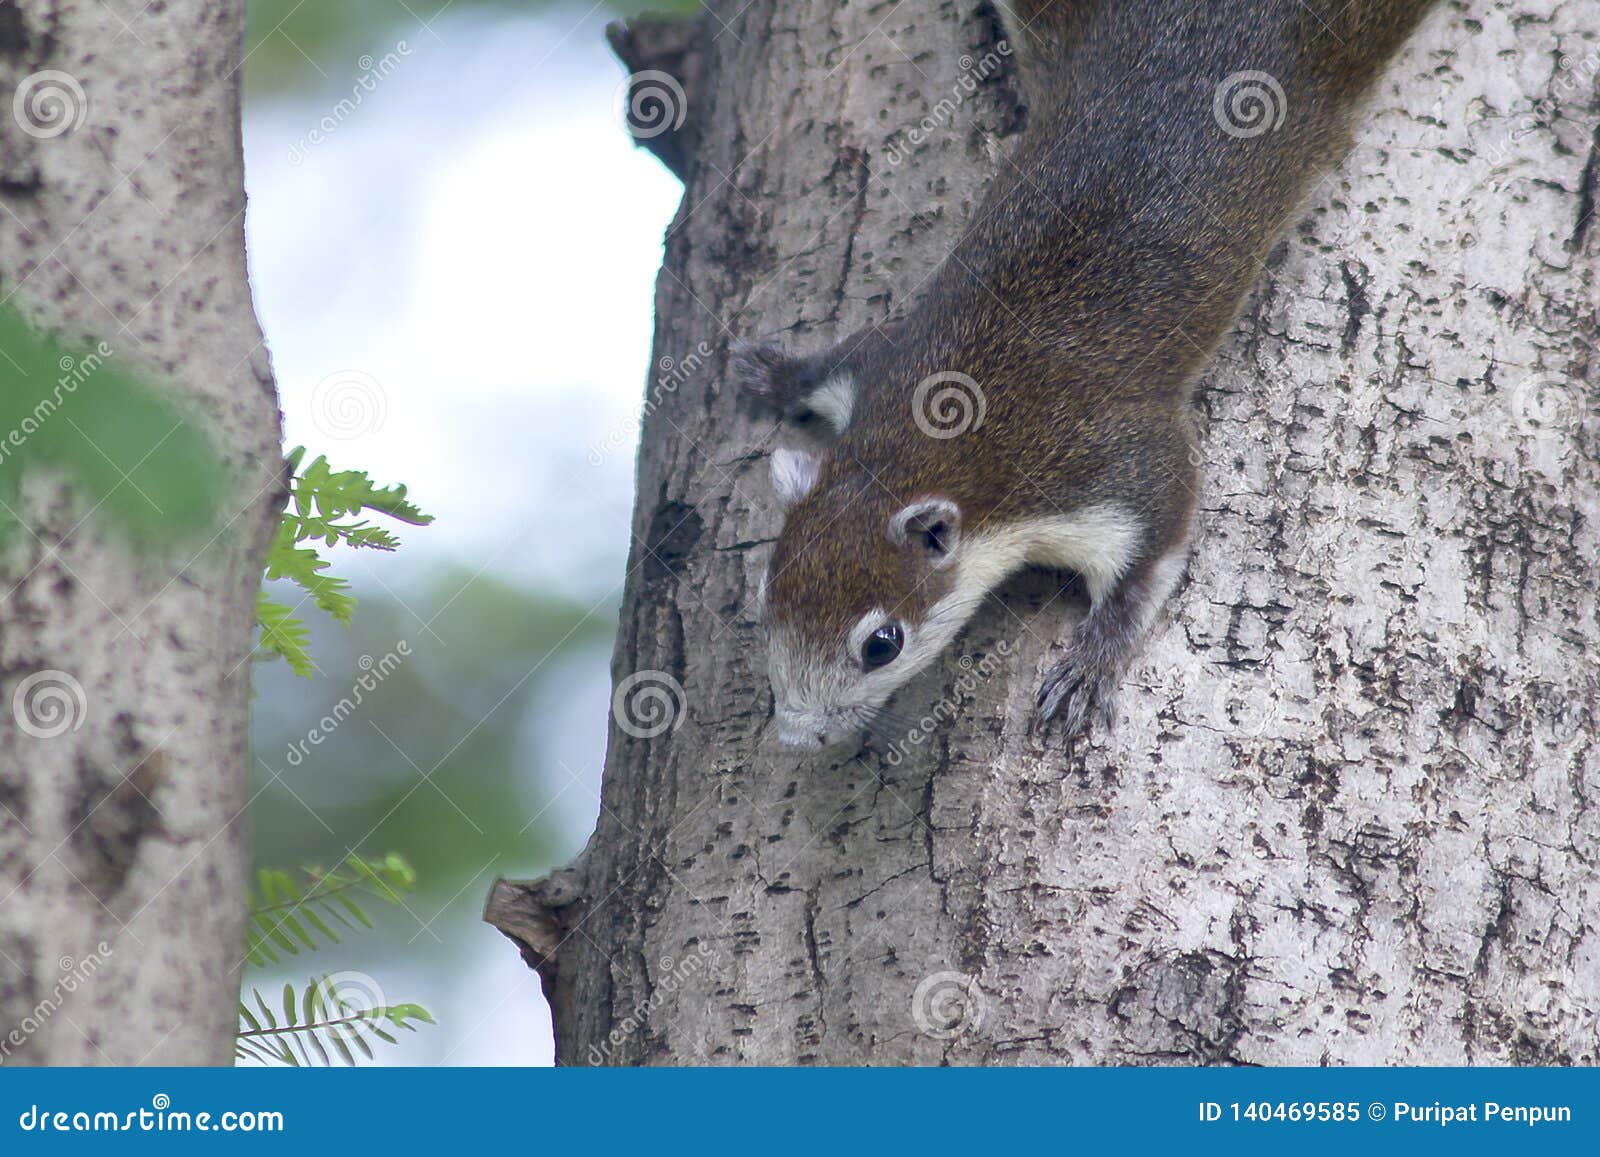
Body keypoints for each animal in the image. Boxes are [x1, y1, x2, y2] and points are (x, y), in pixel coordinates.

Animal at [734, 0, 1443, 750]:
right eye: (765, 596)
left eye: (882, 643)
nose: (796, 738)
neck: (920, 440)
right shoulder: (884, 364)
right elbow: (834, 362)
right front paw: (769, 371)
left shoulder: (1101, 464)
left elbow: (1155, 543)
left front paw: (1090, 663)